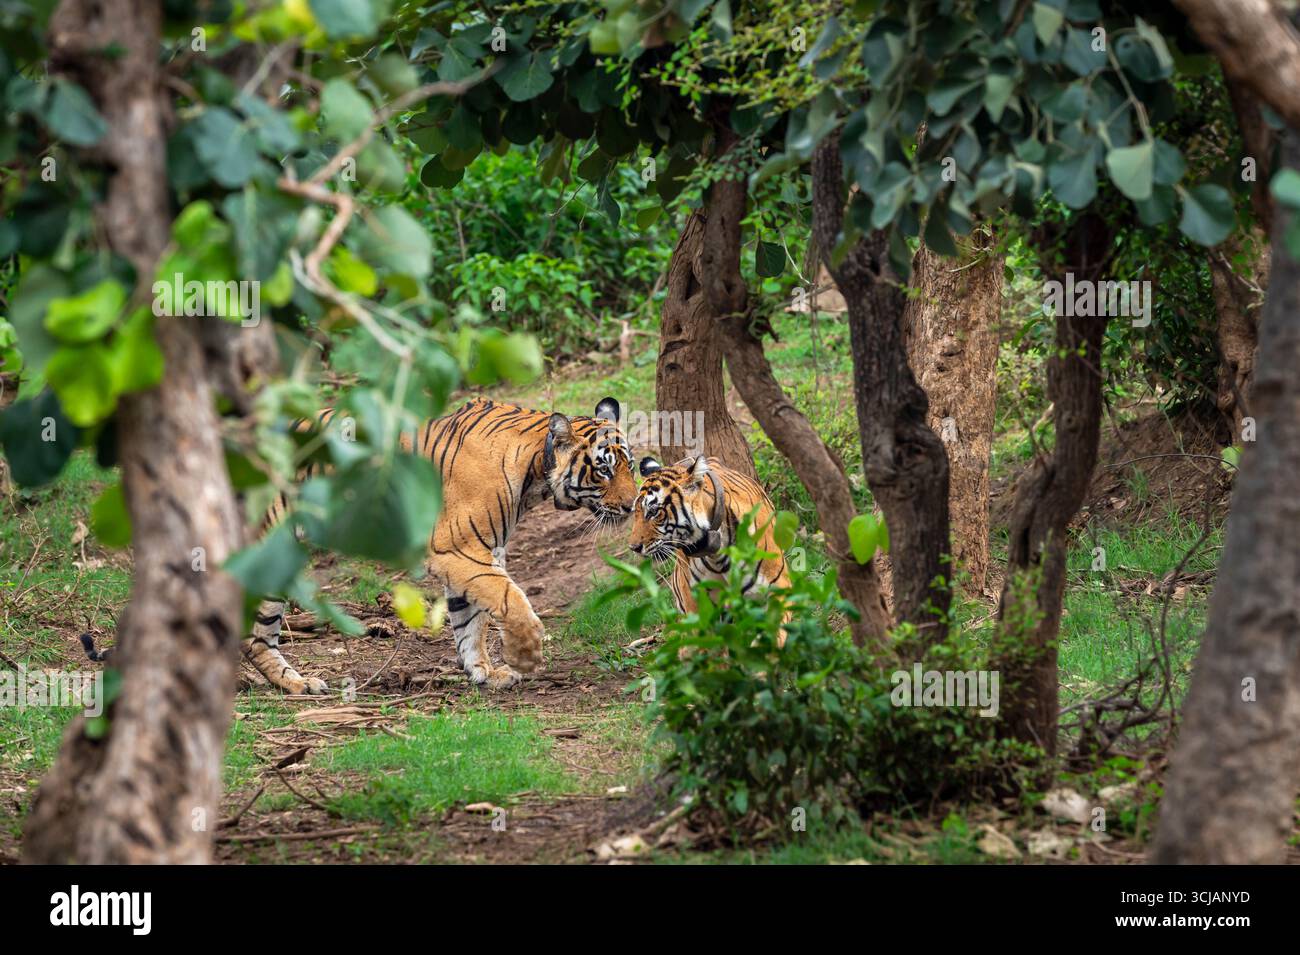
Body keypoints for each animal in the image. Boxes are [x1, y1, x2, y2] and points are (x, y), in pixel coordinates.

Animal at [84, 396, 637, 694]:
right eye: (604, 467)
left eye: (631, 464)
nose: (635, 504)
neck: (535, 476)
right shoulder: (460, 548)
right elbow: (508, 598)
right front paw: (524, 654)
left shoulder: (478, 552)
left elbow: (472, 618)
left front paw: (484, 671)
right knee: (250, 634)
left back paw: (294, 683)